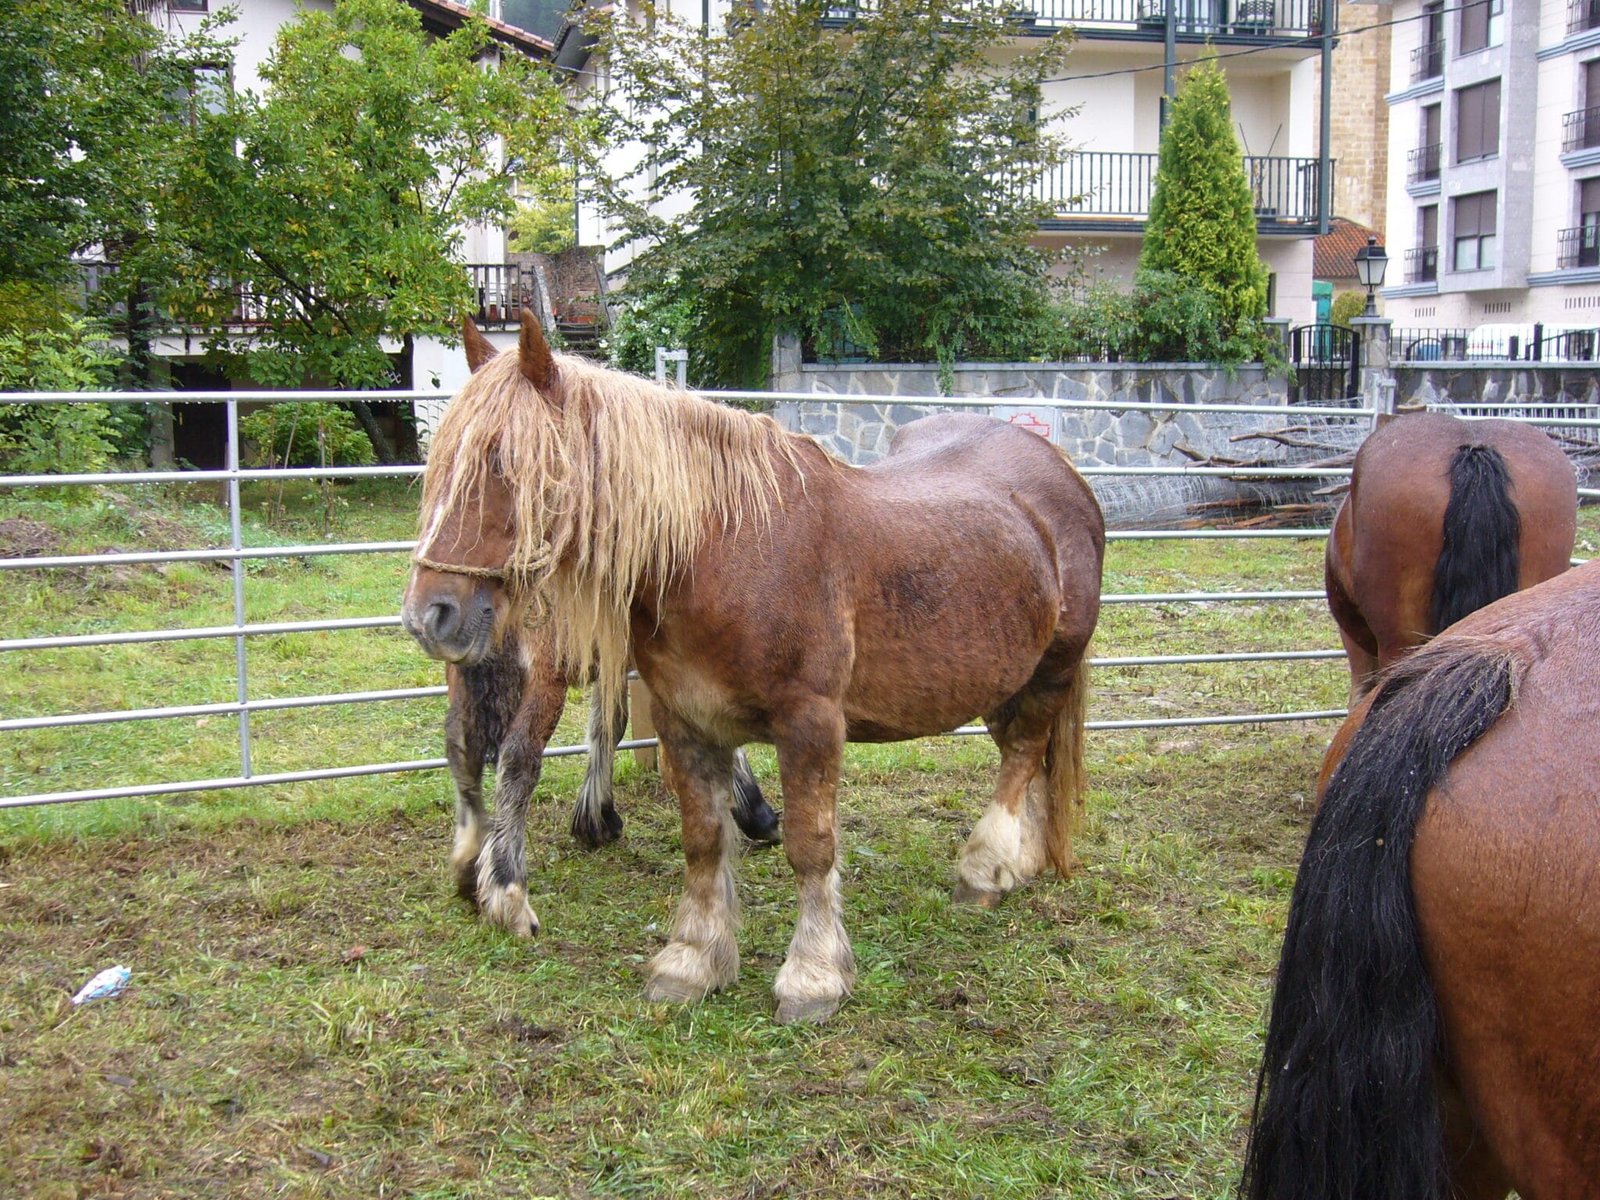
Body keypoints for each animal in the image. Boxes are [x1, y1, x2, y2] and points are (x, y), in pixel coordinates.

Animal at [444, 619, 779, 937]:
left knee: (460, 749)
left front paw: (595, 818)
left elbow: (609, 721)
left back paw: (469, 869)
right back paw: (508, 893)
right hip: (544, 672)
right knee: (517, 758)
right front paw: (756, 812)